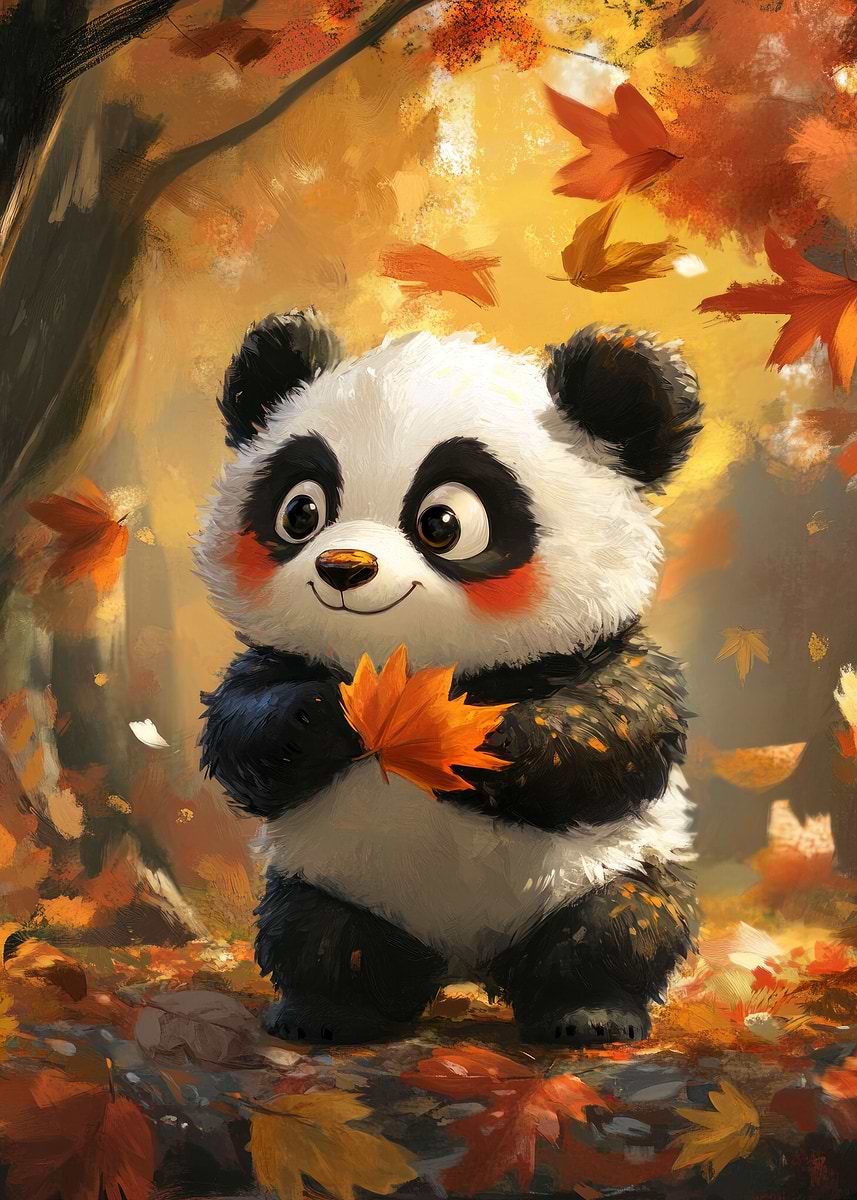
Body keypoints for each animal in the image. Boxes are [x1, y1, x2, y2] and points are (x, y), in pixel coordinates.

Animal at [197, 308, 702, 1046]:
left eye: (443, 522)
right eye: (301, 512)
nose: (343, 566)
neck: (414, 669)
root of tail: (467, 961)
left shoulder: (603, 654)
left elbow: (621, 731)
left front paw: (484, 742)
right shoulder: (274, 661)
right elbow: (241, 733)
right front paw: (324, 715)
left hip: (603, 870)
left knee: (619, 925)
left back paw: (589, 1013)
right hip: (332, 877)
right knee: (318, 934)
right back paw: (330, 1012)